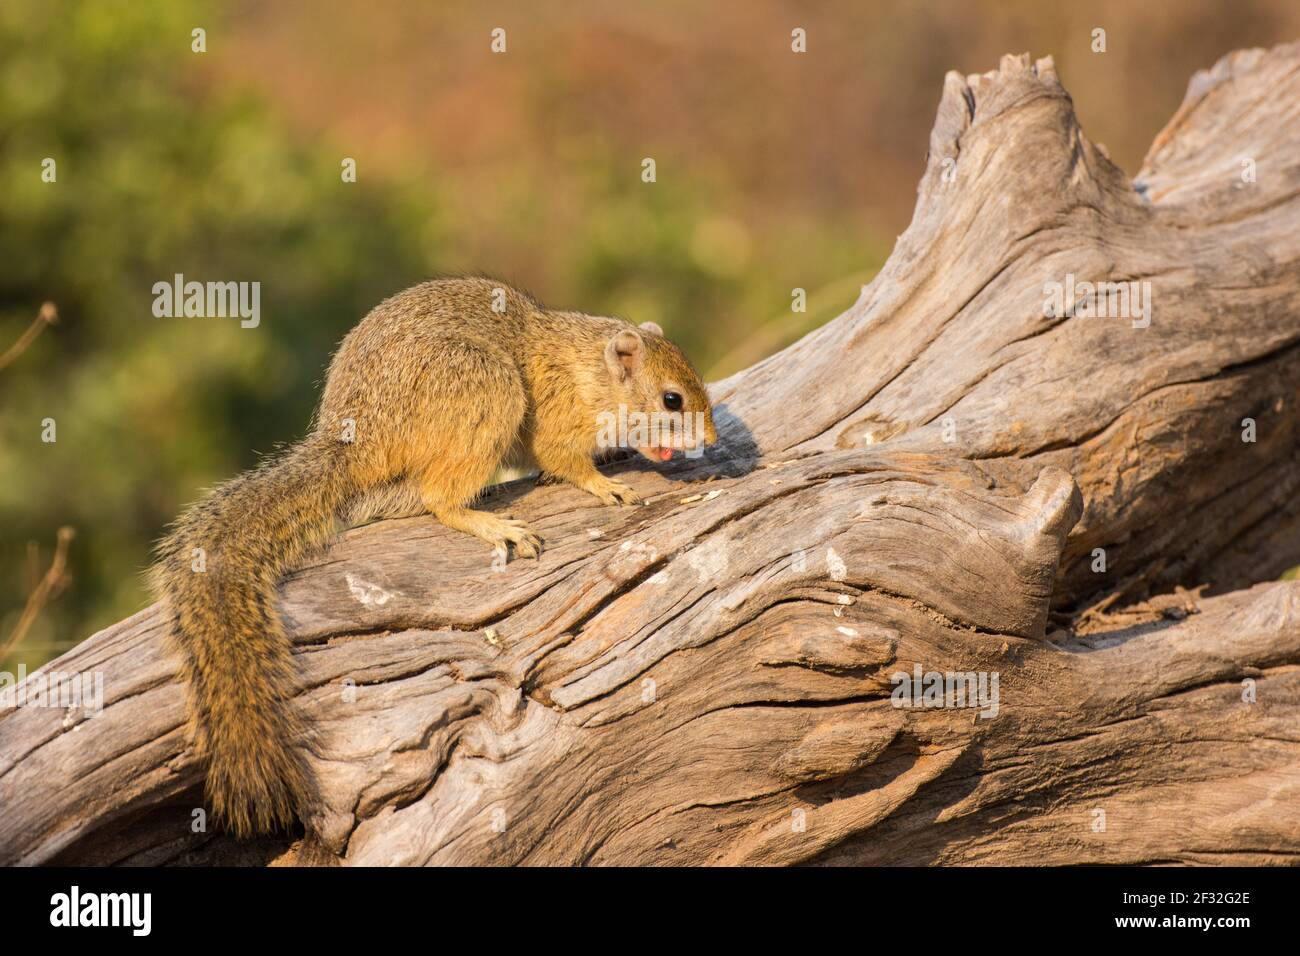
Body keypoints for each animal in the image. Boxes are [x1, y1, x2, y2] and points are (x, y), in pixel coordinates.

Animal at [150, 277, 717, 838]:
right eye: (671, 400)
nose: (710, 440)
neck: (590, 372)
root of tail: (356, 444)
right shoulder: (556, 419)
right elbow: (562, 461)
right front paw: (605, 486)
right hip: (484, 387)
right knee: (440, 498)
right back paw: (494, 525)